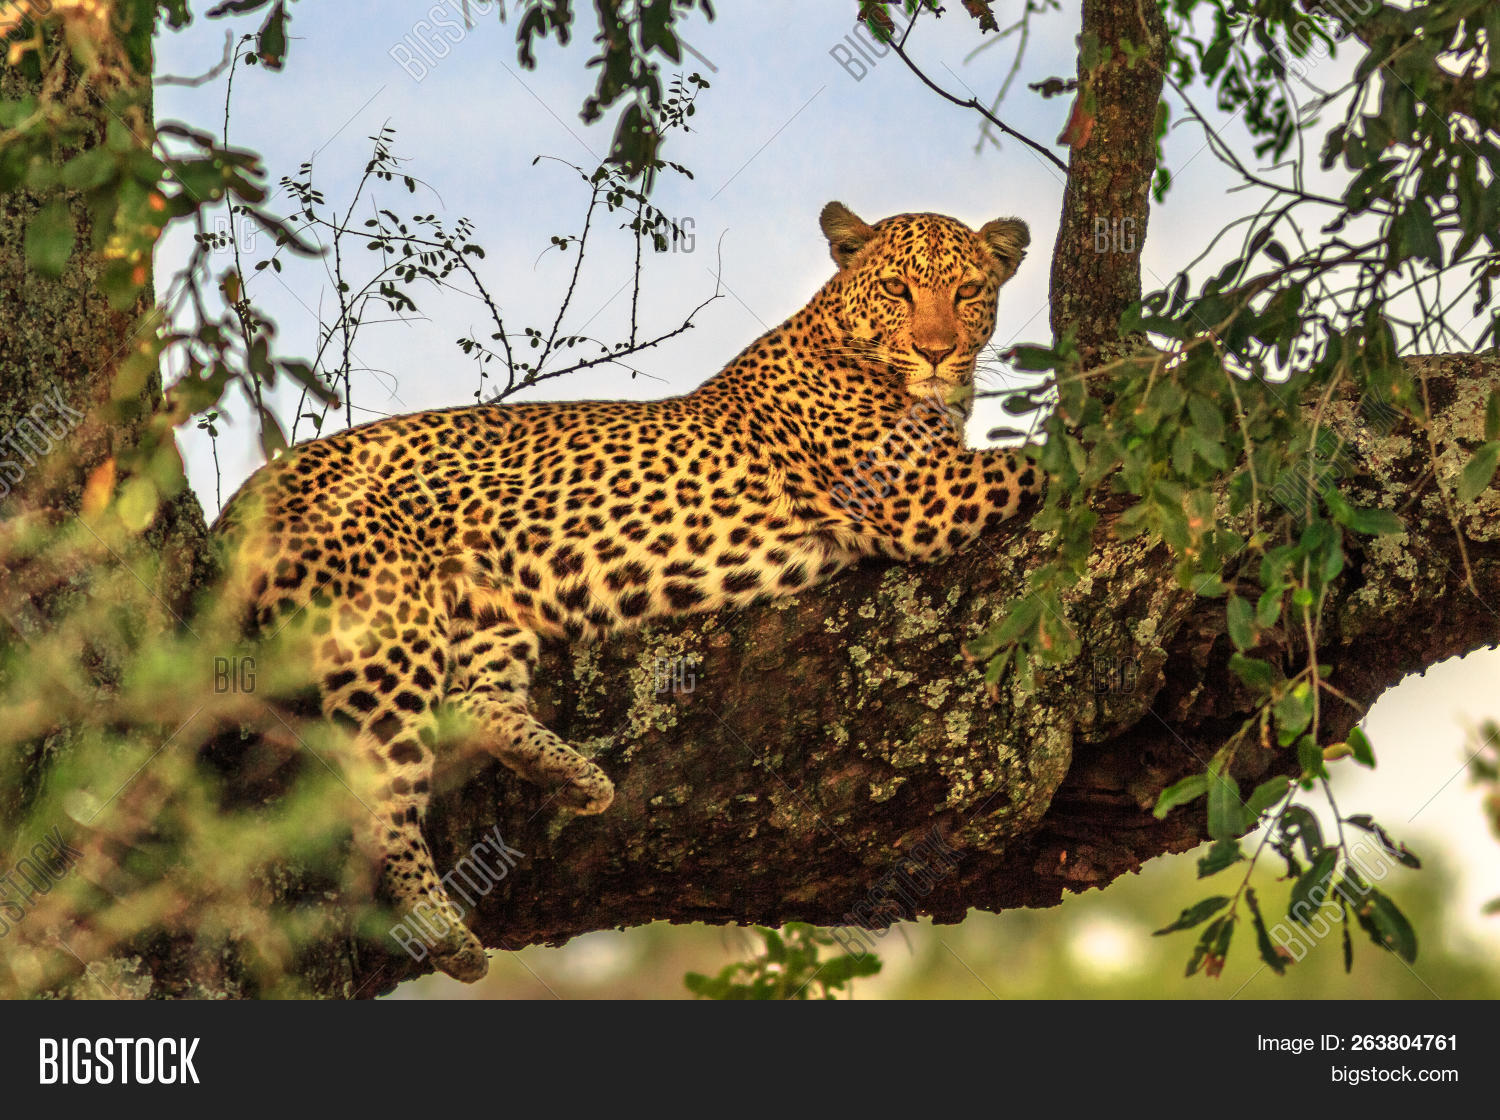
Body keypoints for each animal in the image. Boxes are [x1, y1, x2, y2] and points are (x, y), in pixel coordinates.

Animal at [212, 201, 1043, 982]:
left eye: (968, 292)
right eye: (899, 290)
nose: (937, 351)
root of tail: (261, 485)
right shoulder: (923, 497)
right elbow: (1037, 460)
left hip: (485, 613)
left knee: (468, 703)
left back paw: (574, 776)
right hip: (385, 628)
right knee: (374, 791)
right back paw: (441, 929)